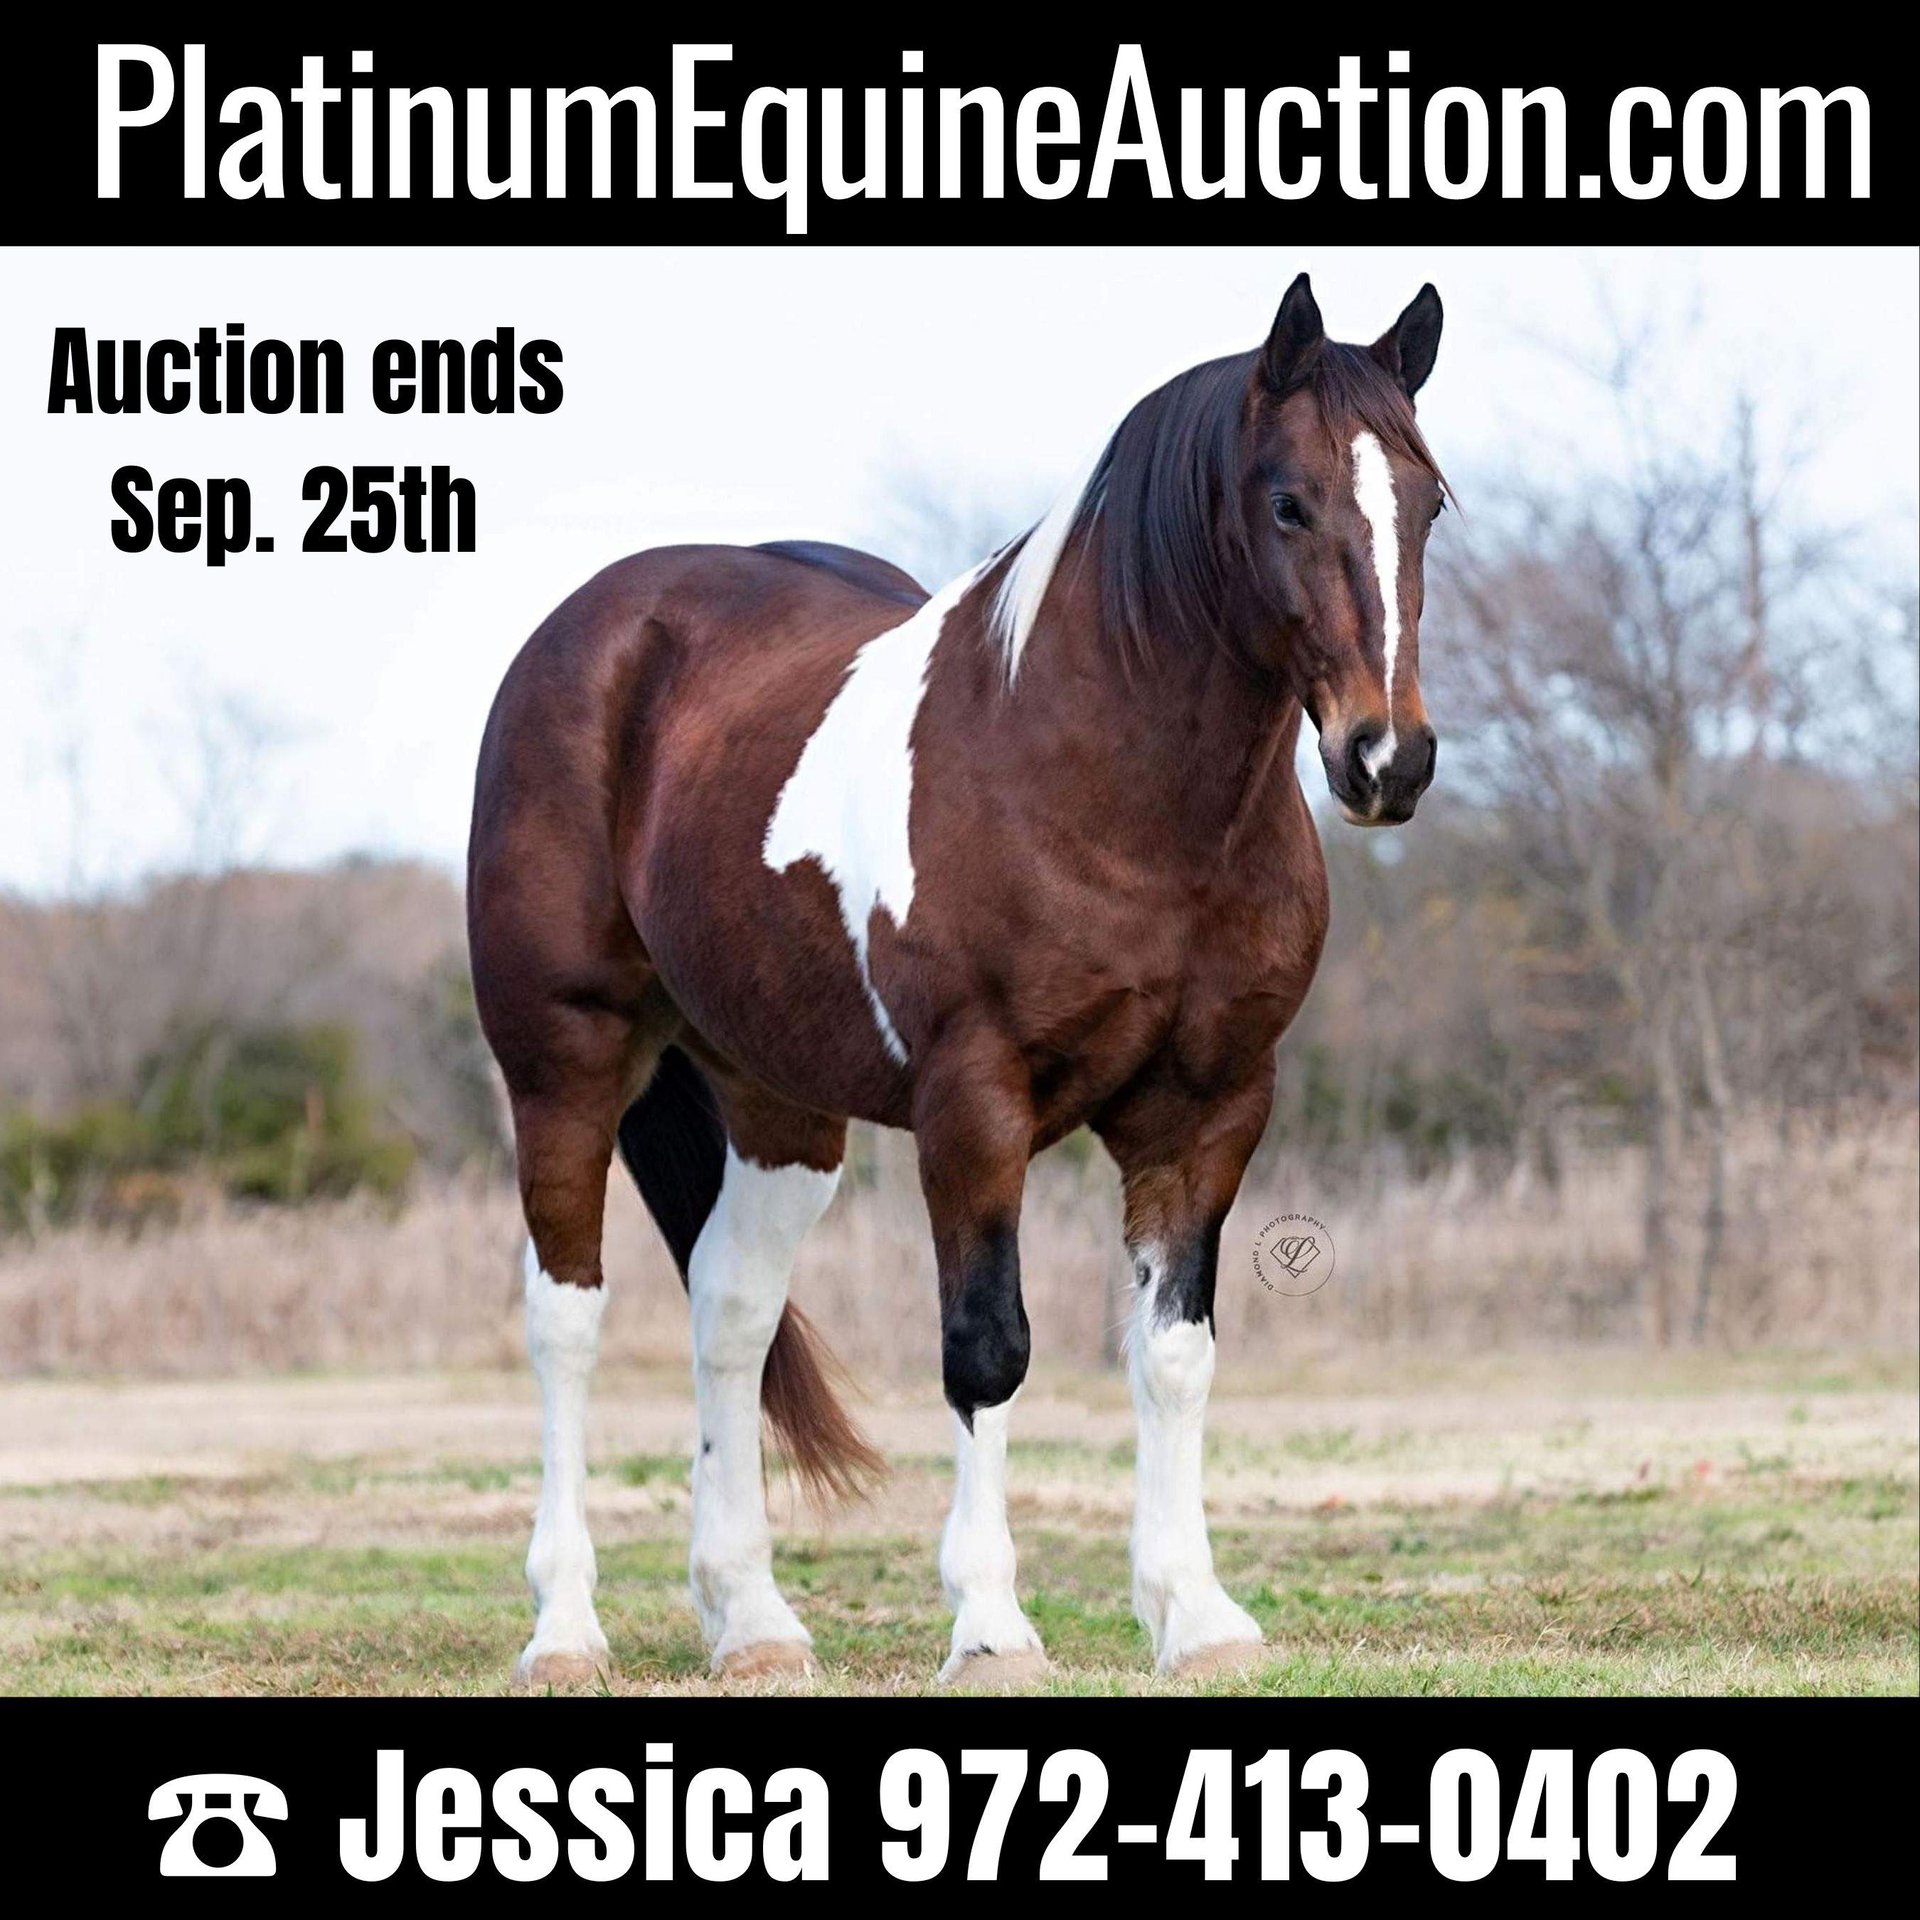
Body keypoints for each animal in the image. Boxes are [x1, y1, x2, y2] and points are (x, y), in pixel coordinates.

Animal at [467, 271, 1447, 1688]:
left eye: (1427, 504)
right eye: (1288, 501)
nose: (1388, 759)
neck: (1102, 786)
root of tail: (595, 635)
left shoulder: (1208, 1111)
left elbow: (1173, 1356)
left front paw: (1196, 1614)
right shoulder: (973, 1106)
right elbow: (989, 1351)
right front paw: (990, 1625)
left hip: (778, 1109)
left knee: (730, 1309)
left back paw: (753, 1622)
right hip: (566, 1066)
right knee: (567, 1319)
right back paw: (565, 1630)